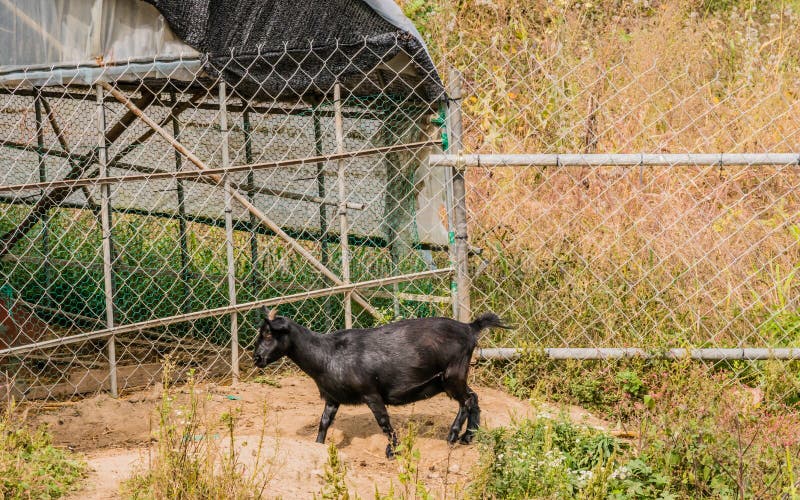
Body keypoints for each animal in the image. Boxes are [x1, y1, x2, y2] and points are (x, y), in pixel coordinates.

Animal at [252, 307, 510, 458]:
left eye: (268, 333)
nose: (256, 358)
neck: (328, 354)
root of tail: (470, 328)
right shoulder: (333, 397)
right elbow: (324, 423)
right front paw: (317, 445)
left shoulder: (371, 393)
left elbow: (383, 421)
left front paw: (393, 450)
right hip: (452, 379)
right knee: (474, 397)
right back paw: (468, 436)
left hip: (452, 375)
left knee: (466, 401)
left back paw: (453, 436)